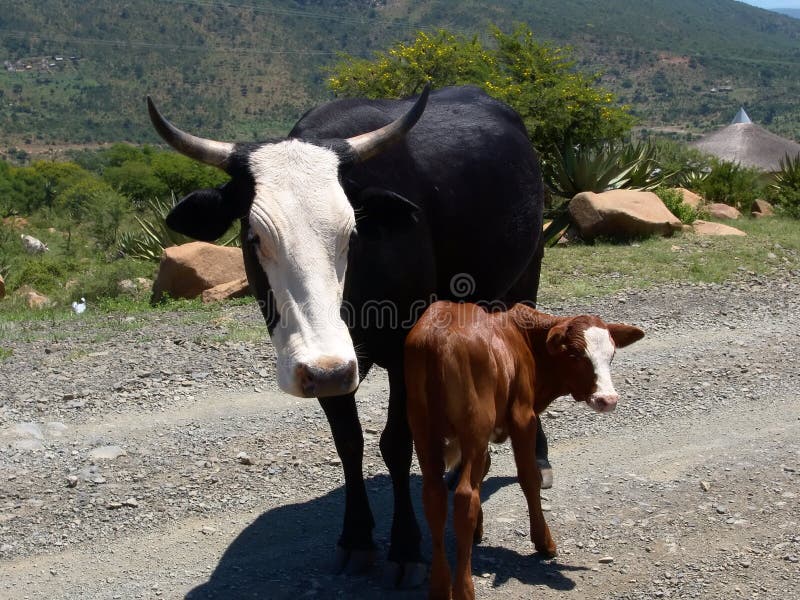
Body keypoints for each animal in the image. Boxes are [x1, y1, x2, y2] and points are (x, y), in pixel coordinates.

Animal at [147, 85, 545, 586]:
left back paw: (536, 460)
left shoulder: (401, 350)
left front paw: (405, 547)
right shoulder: (330, 366)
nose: (326, 372)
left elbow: (396, 443)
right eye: (253, 237)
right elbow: (349, 443)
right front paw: (356, 539)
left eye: (352, 234)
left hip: (527, 276)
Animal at [405, 301, 644, 600]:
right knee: (464, 496)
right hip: (475, 427)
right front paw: (543, 541)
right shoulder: (523, 418)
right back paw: (464, 588)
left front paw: (478, 530)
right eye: (575, 354)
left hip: (422, 429)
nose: (607, 399)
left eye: (611, 355)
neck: (523, 340)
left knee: (434, 496)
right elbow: (529, 478)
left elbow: (484, 470)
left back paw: (439, 585)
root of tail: (437, 336)